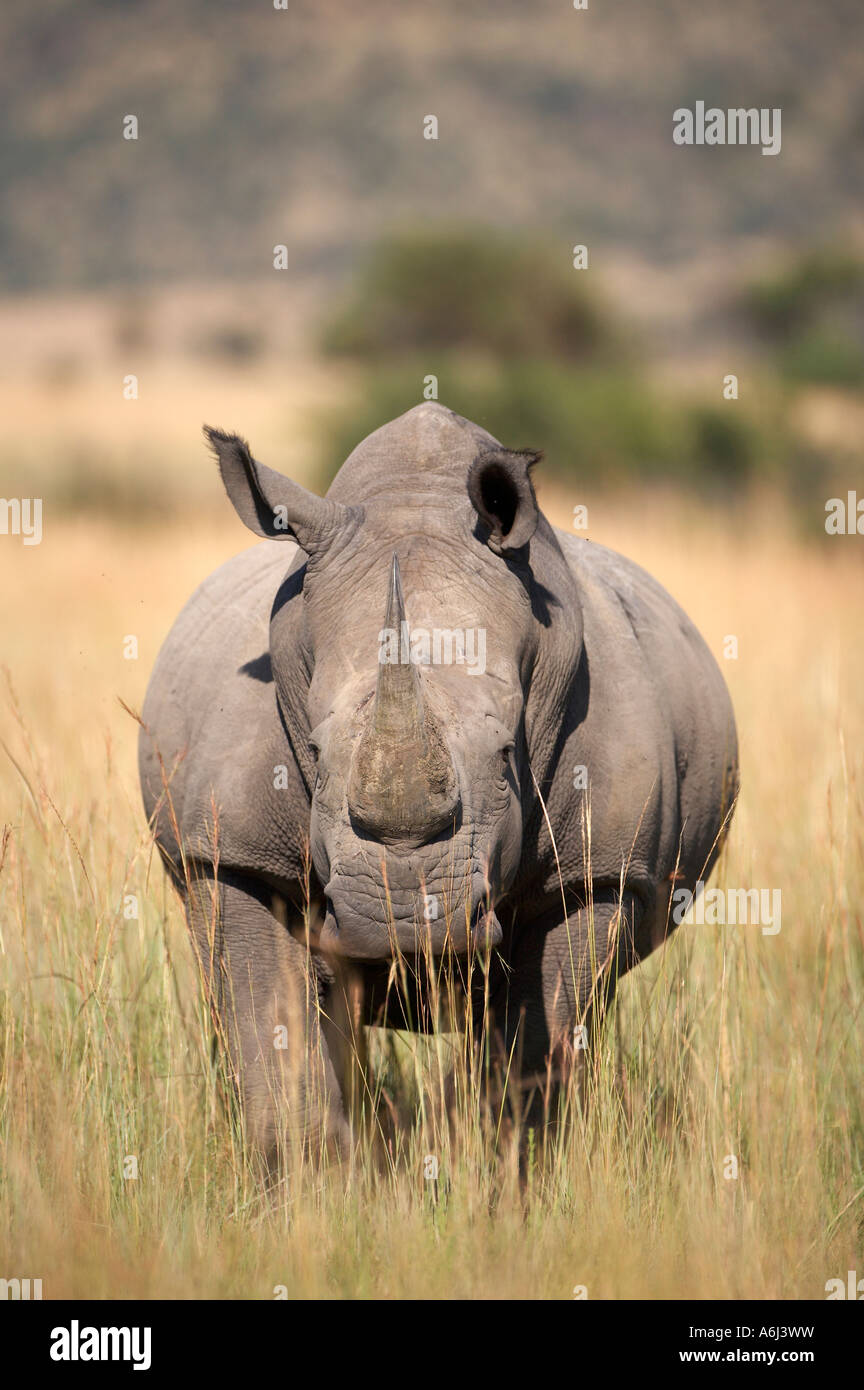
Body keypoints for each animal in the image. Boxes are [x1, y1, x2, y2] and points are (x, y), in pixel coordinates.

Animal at [139, 402, 738, 1162]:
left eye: (508, 752)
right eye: (312, 750)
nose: (401, 919)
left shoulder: (602, 872)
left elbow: (531, 1055)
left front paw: (500, 1178)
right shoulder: (231, 854)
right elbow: (272, 1041)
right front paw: (309, 1183)